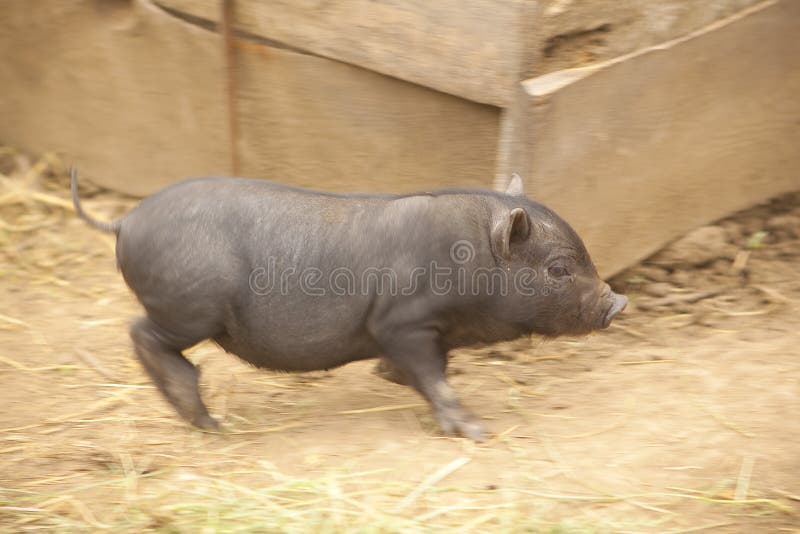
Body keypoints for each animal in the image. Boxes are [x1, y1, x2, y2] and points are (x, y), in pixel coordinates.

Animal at [71, 169, 626, 441]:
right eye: (559, 269)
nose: (617, 301)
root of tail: (126, 221)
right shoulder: (401, 321)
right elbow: (434, 376)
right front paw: (476, 432)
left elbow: (429, 368)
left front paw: (388, 377)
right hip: (190, 306)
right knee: (142, 334)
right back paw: (209, 424)